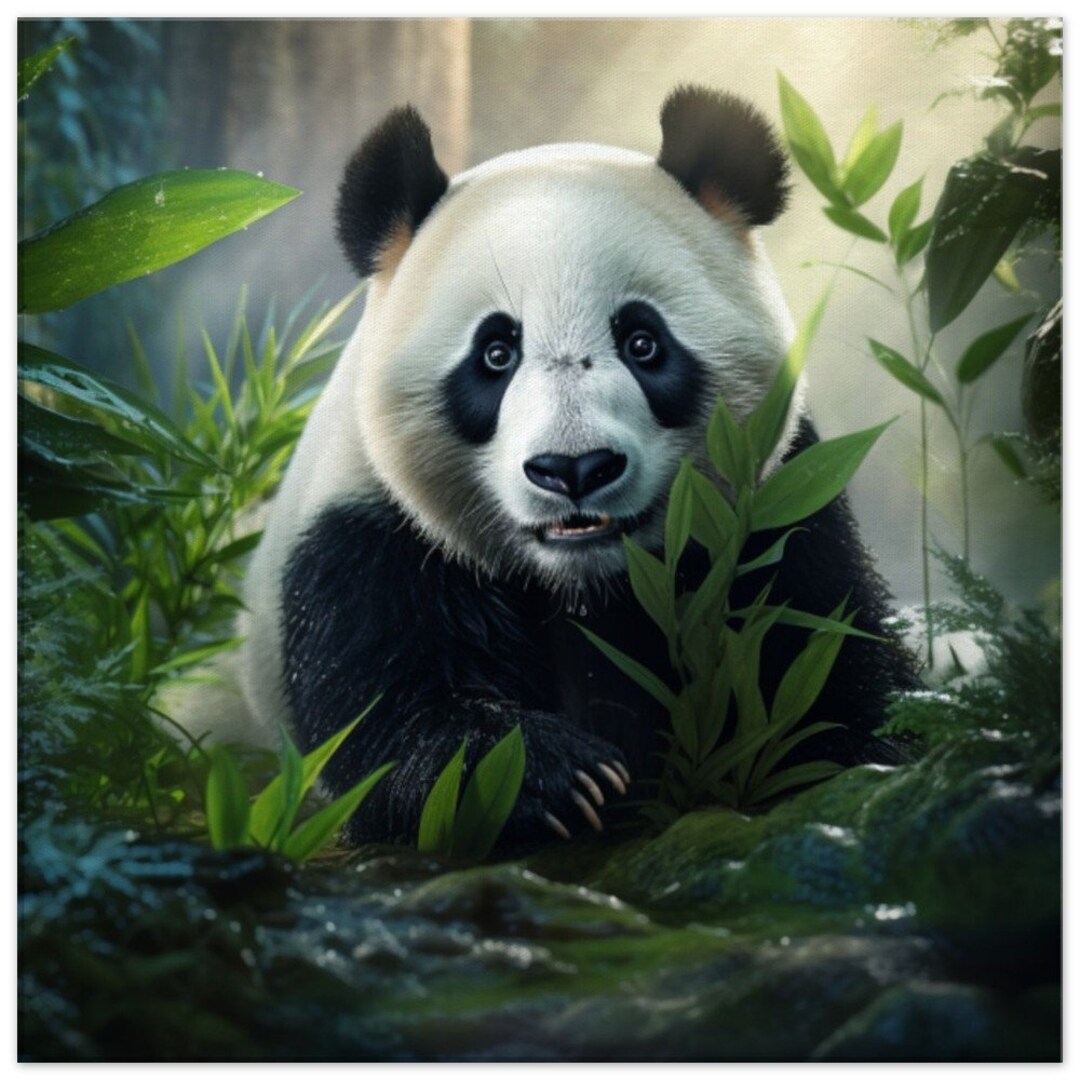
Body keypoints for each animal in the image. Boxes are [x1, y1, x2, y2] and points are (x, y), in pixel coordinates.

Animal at [235, 86, 916, 849]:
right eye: (496, 353)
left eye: (643, 341)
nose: (574, 469)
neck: (589, 584)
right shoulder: (366, 534)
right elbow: (389, 717)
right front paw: (551, 774)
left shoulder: (774, 501)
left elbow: (822, 659)